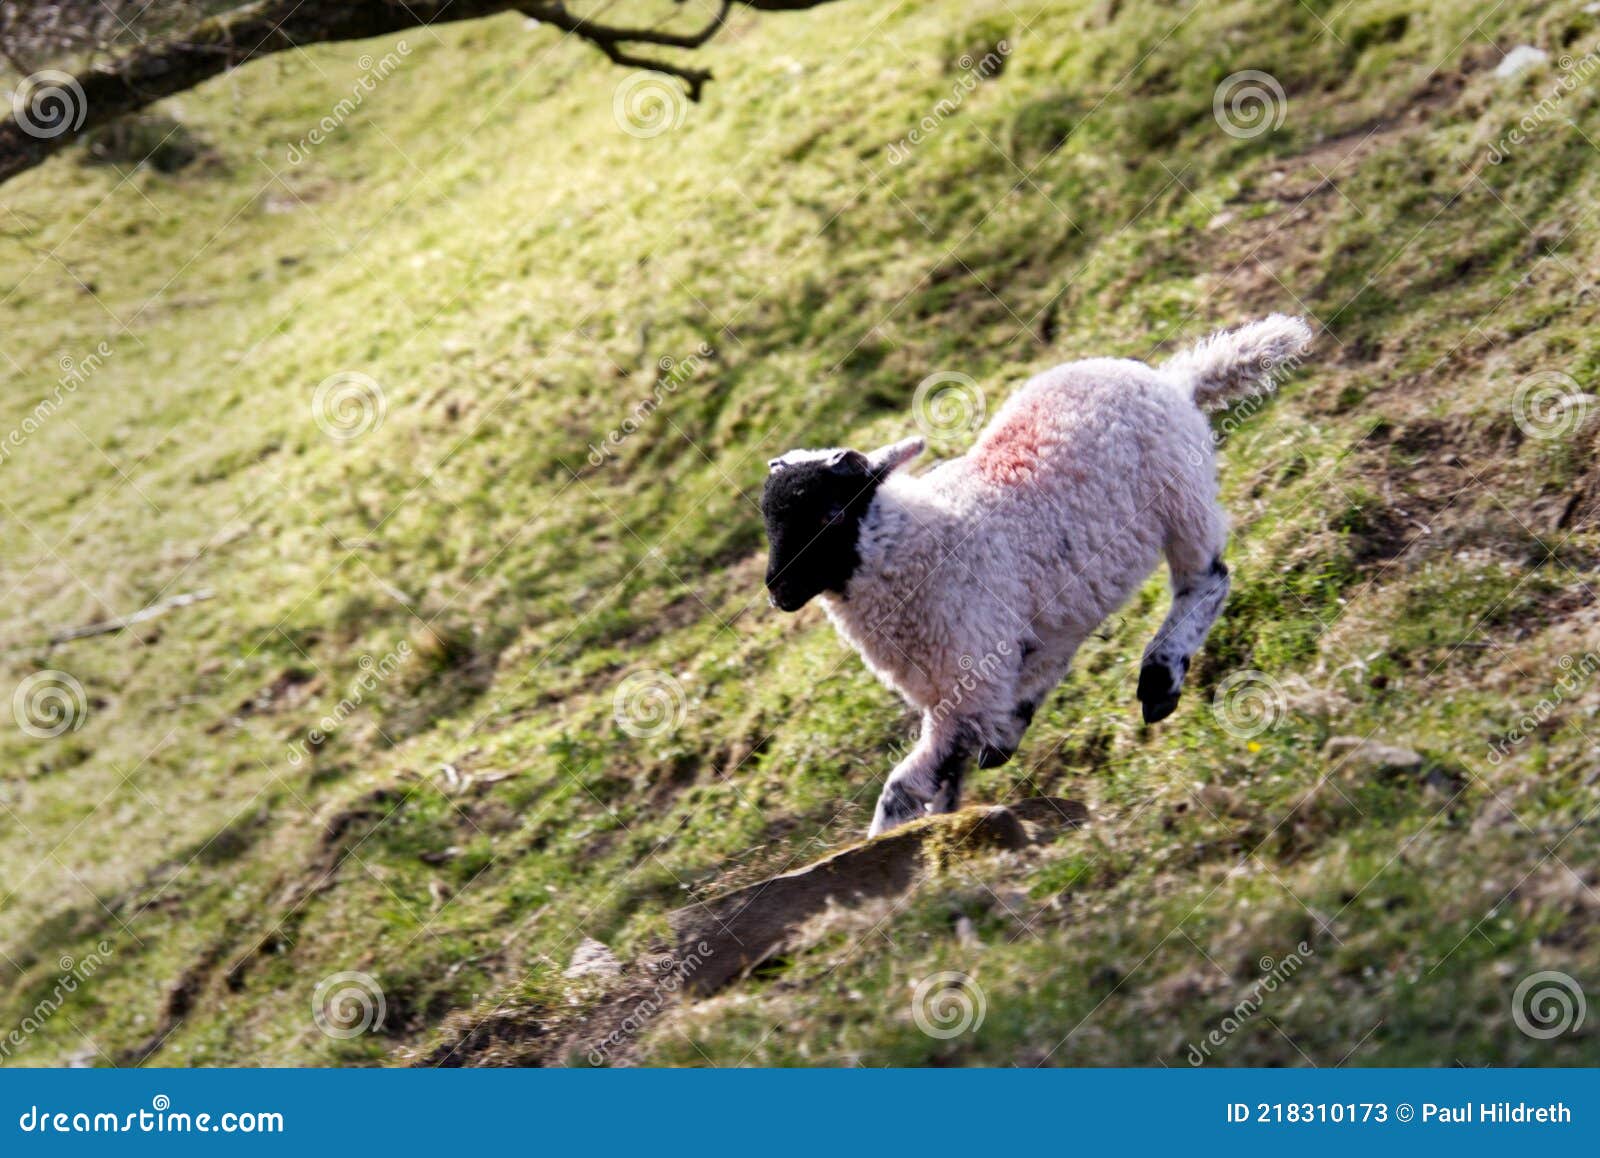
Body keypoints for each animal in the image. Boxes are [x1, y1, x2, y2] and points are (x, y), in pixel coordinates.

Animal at [761, 315, 1313, 836]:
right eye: (769, 520)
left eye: (830, 515)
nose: (778, 591)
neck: (917, 540)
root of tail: (1171, 380)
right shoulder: (961, 682)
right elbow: (949, 775)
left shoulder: (970, 682)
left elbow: (906, 784)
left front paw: (889, 837)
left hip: (1183, 503)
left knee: (1207, 582)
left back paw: (1159, 679)